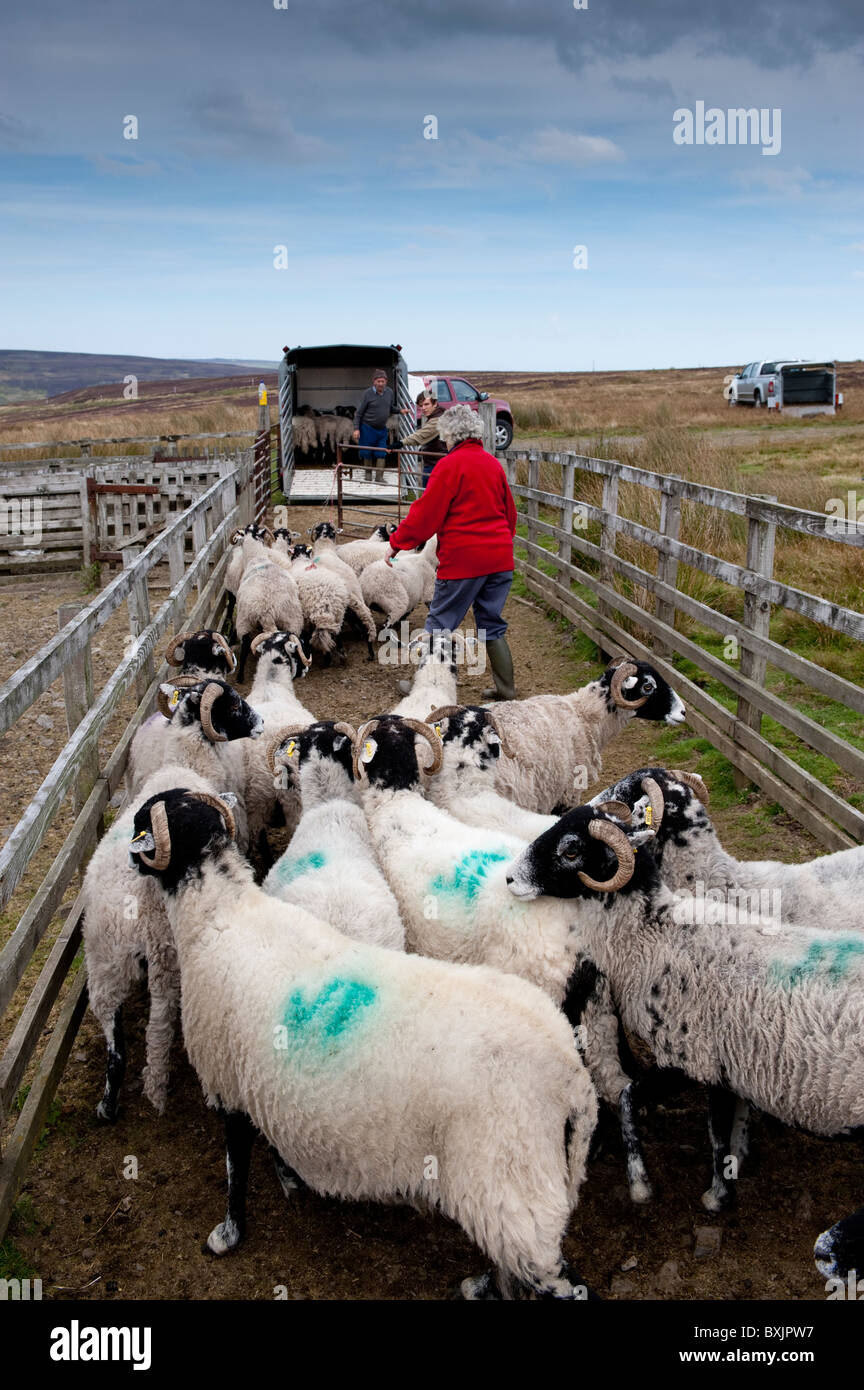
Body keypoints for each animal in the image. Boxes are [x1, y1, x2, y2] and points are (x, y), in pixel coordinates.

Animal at [82, 682, 263, 1119]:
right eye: (233, 705)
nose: (261, 723)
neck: (183, 761)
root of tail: (135, 912)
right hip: (166, 965)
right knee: (158, 1031)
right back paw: (157, 1090)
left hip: (104, 965)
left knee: (116, 1046)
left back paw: (107, 1108)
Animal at [128, 786, 598, 1299]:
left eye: (141, 822)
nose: (129, 858)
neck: (221, 913)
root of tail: (572, 1078)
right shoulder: (255, 1082)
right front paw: (288, 1177)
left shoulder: (226, 1078)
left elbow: (236, 1162)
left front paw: (228, 1233)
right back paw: (483, 1284)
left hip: (511, 1178)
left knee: (564, 1281)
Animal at [507, 804, 864, 1284]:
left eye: (571, 849)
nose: (510, 878)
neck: (656, 935)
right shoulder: (727, 1066)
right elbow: (725, 1126)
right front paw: (732, 1170)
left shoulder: (691, 1059)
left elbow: (636, 1101)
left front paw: (656, 1188)